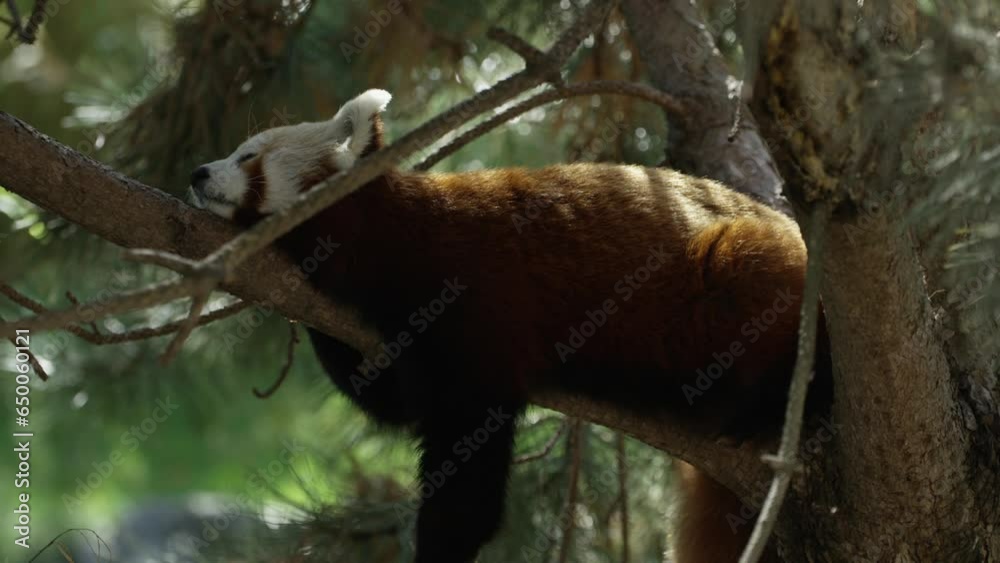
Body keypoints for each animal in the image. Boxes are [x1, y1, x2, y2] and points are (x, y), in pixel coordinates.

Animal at [189, 89, 815, 563]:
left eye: (247, 156)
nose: (197, 172)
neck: (398, 240)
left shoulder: (478, 303)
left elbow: (469, 457)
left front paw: (439, 548)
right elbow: (395, 400)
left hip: (747, 267)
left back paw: (772, 405)